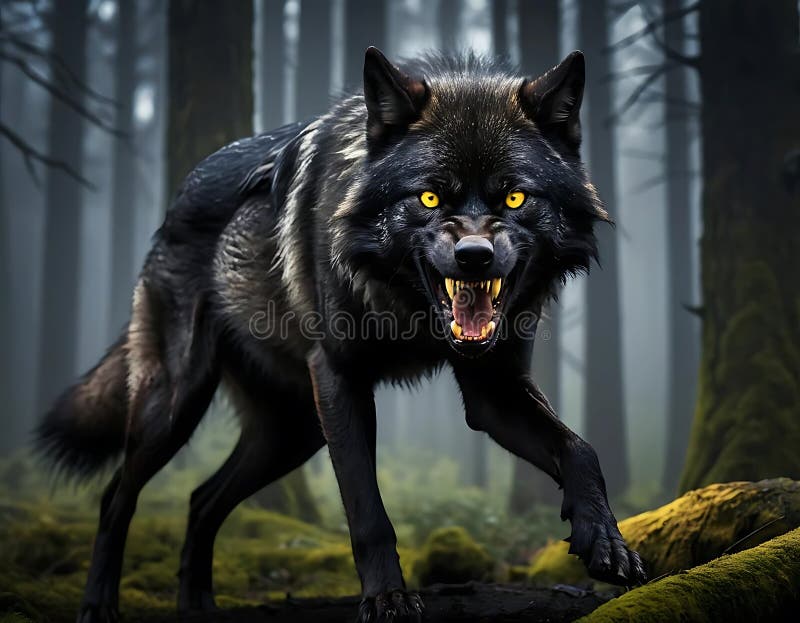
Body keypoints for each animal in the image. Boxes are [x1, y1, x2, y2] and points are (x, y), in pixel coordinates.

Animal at [37, 48, 646, 623]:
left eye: (514, 198)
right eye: (429, 198)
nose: (474, 257)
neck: (410, 308)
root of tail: (173, 203)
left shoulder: (491, 391)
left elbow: (579, 447)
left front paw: (605, 540)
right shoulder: (339, 378)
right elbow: (366, 510)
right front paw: (387, 600)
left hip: (292, 432)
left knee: (200, 499)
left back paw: (198, 605)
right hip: (178, 406)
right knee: (117, 495)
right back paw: (98, 605)